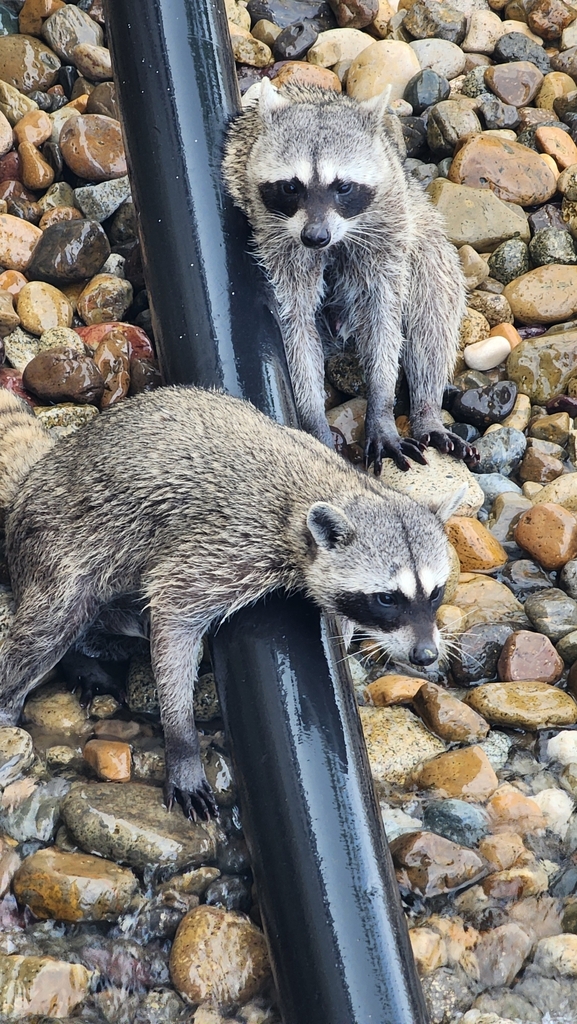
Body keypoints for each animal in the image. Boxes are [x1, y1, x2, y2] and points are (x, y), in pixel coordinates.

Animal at [0, 387, 463, 819]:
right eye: (387, 598)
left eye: (435, 593)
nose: (425, 654)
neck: (335, 485)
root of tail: (37, 476)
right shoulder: (232, 541)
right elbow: (173, 612)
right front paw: (181, 740)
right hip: (63, 539)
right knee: (49, 626)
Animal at [222, 81, 474, 475]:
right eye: (291, 187)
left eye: (343, 187)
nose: (315, 237)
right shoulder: (275, 243)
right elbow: (295, 328)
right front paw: (313, 424)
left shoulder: (388, 225)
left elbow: (386, 316)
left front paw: (382, 407)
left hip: (421, 229)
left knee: (433, 292)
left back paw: (427, 408)